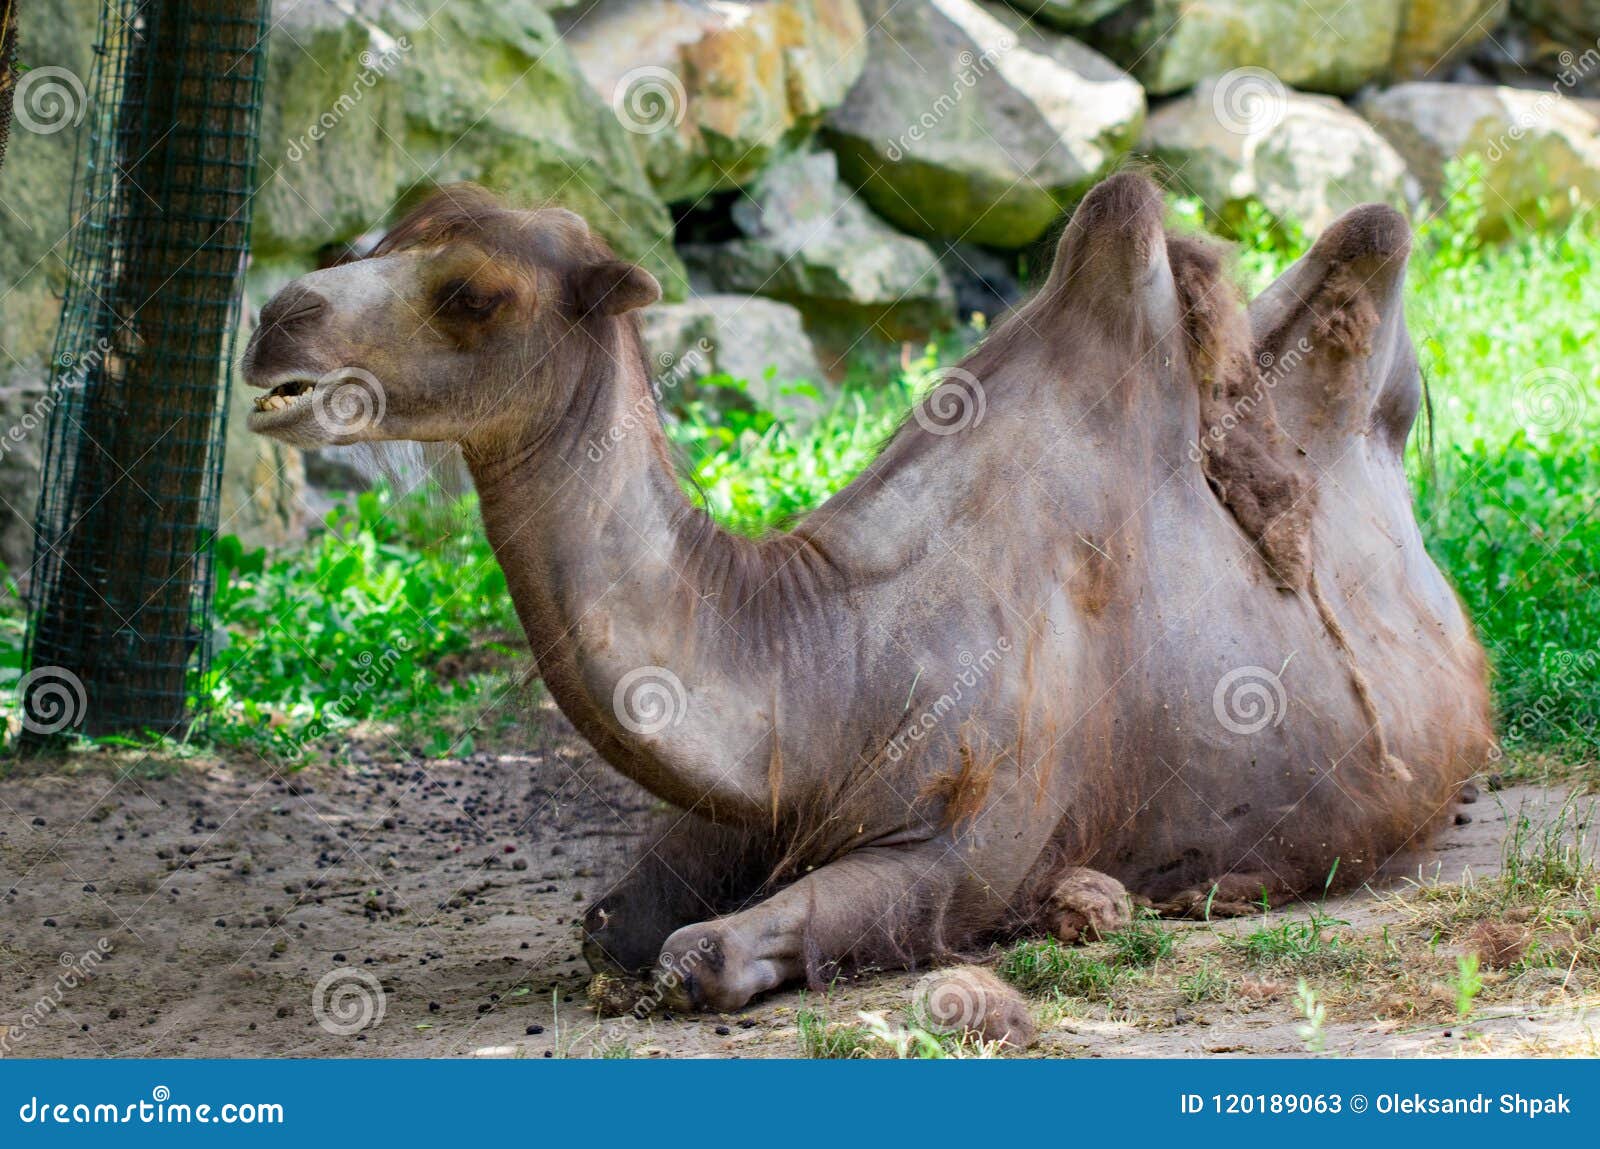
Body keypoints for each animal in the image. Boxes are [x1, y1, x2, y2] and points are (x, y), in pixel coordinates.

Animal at [243, 172, 1493, 1013]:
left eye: (471, 293)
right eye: (382, 236)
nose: (273, 319)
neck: (833, 646)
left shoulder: (956, 852)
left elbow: (700, 954)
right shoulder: (745, 807)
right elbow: (608, 923)